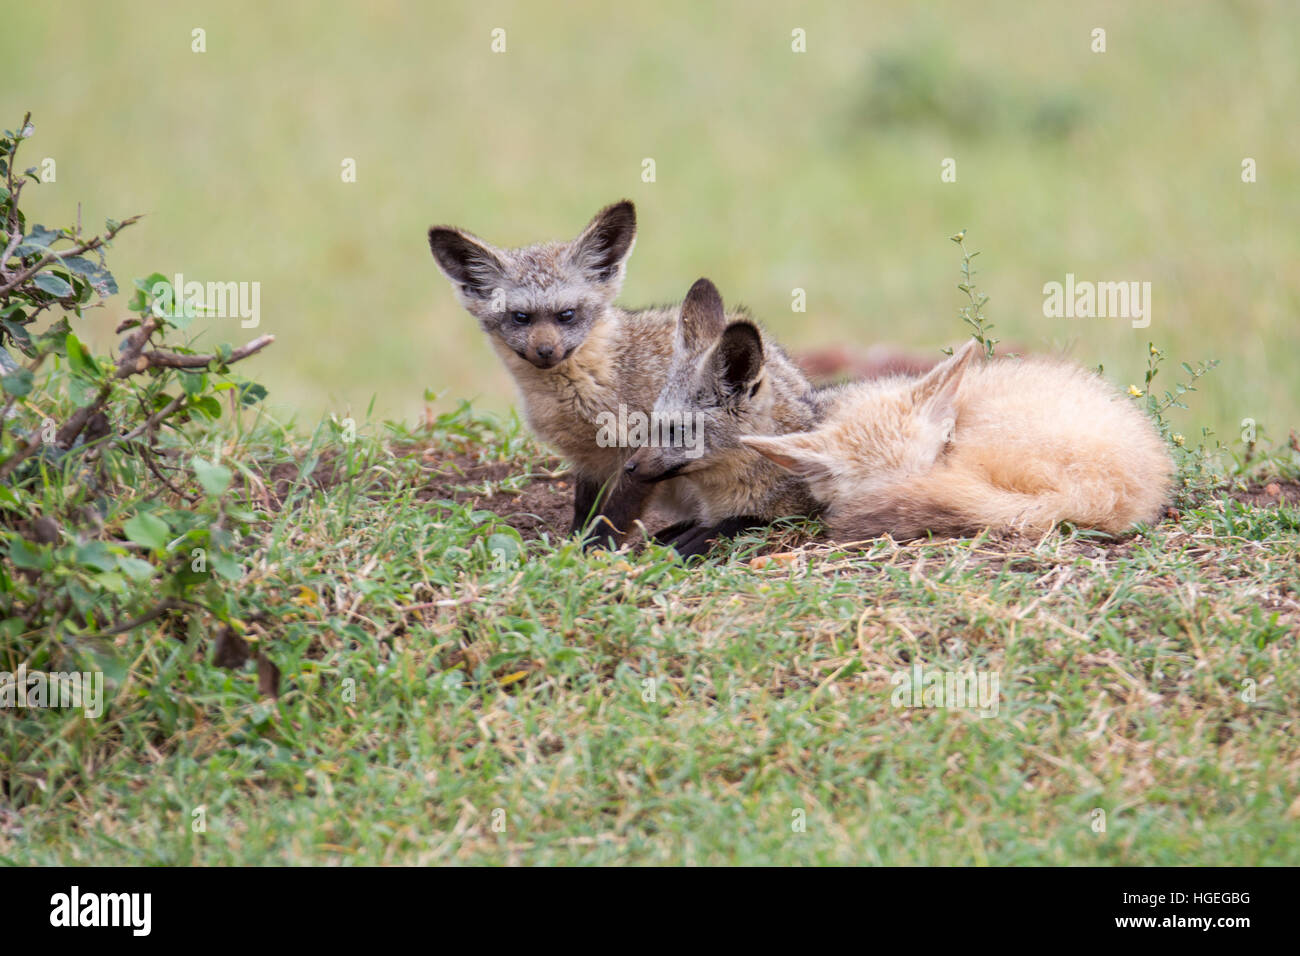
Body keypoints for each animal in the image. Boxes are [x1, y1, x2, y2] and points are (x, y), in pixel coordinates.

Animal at [427, 201, 748, 543]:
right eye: (520, 317)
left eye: (566, 315)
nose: (545, 351)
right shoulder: (590, 460)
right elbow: (585, 508)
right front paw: (573, 543)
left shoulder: (643, 449)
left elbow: (615, 515)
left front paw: (596, 550)